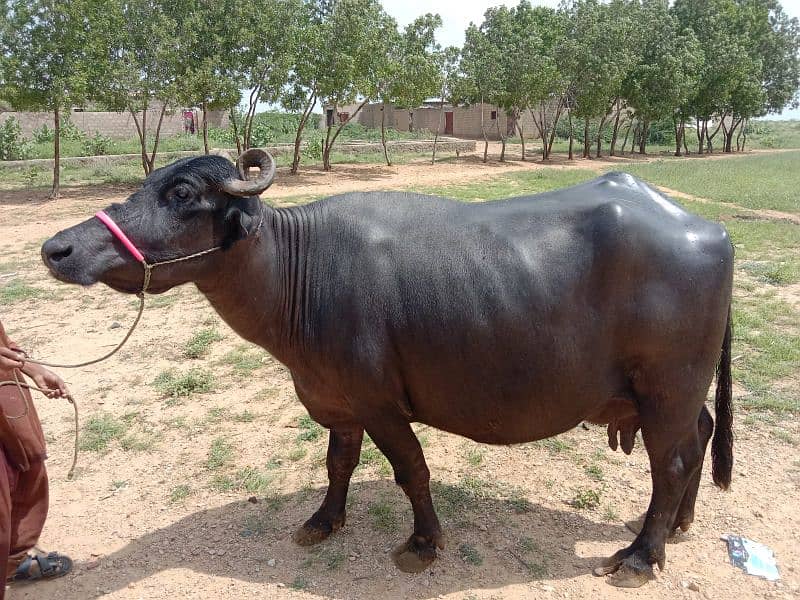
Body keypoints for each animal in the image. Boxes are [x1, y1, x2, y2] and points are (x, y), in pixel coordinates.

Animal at [41, 150, 734, 587]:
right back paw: (678, 526)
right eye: (146, 183)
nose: (58, 248)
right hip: (674, 393)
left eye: (182, 194)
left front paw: (424, 544)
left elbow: (411, 471)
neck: (299, 273)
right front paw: (322, 521)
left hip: (666, 388)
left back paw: (642, 554)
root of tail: (709, 229)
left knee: (672, 460)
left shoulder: (379, 403)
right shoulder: (336, 401)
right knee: (699, 437)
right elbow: (338, 464)